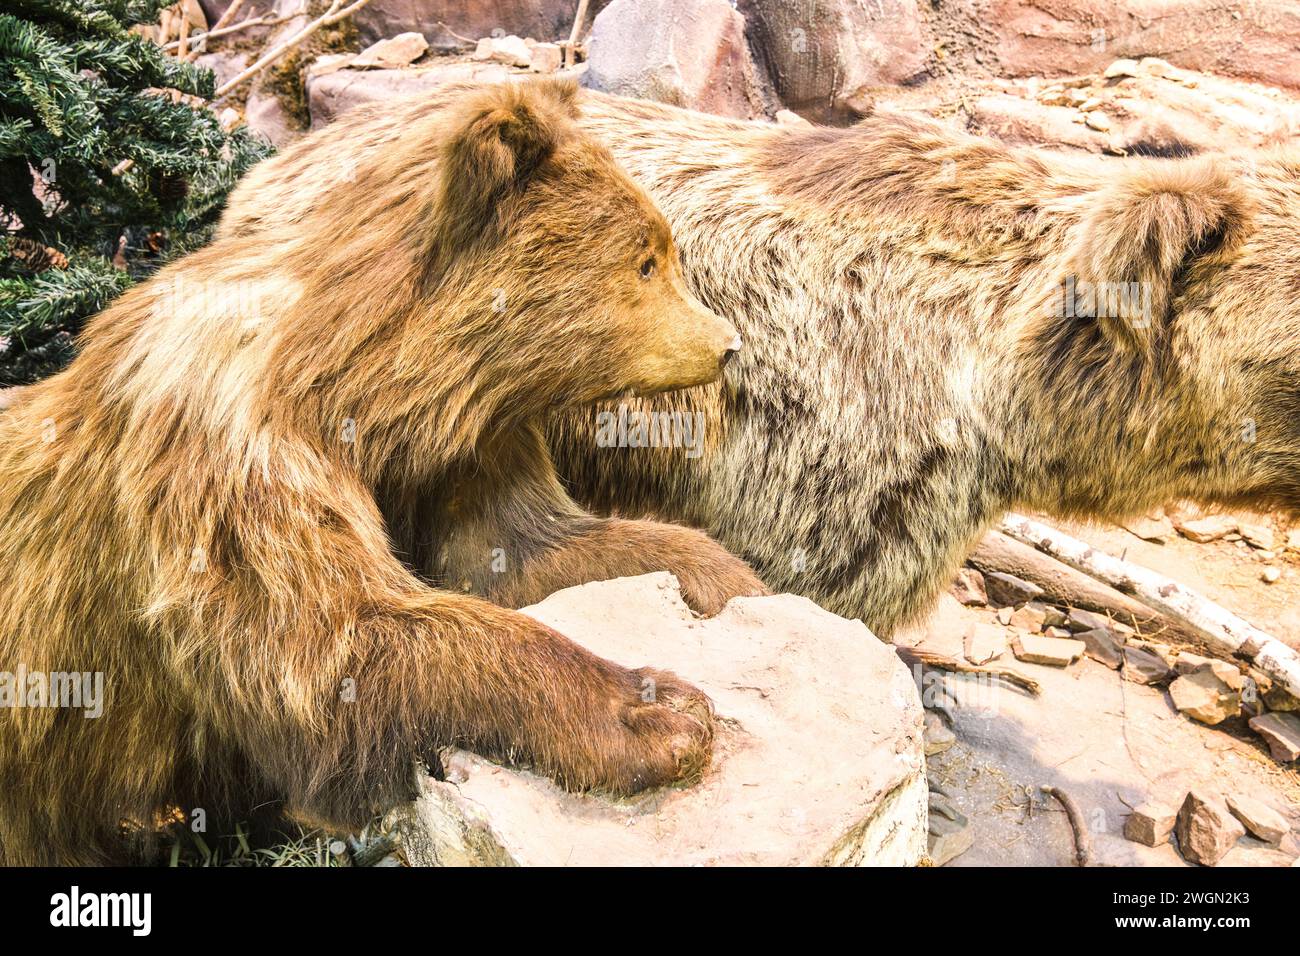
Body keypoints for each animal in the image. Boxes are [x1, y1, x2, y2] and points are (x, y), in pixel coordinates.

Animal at [0, 79, 767, 866]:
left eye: (663, 247)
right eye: (646, 260)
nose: (728, 344)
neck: (365, 397)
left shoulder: (463, 452)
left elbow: (521, 554)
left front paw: (723, 577)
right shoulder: (231, 452)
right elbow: (333, 645)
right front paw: (658, 710)